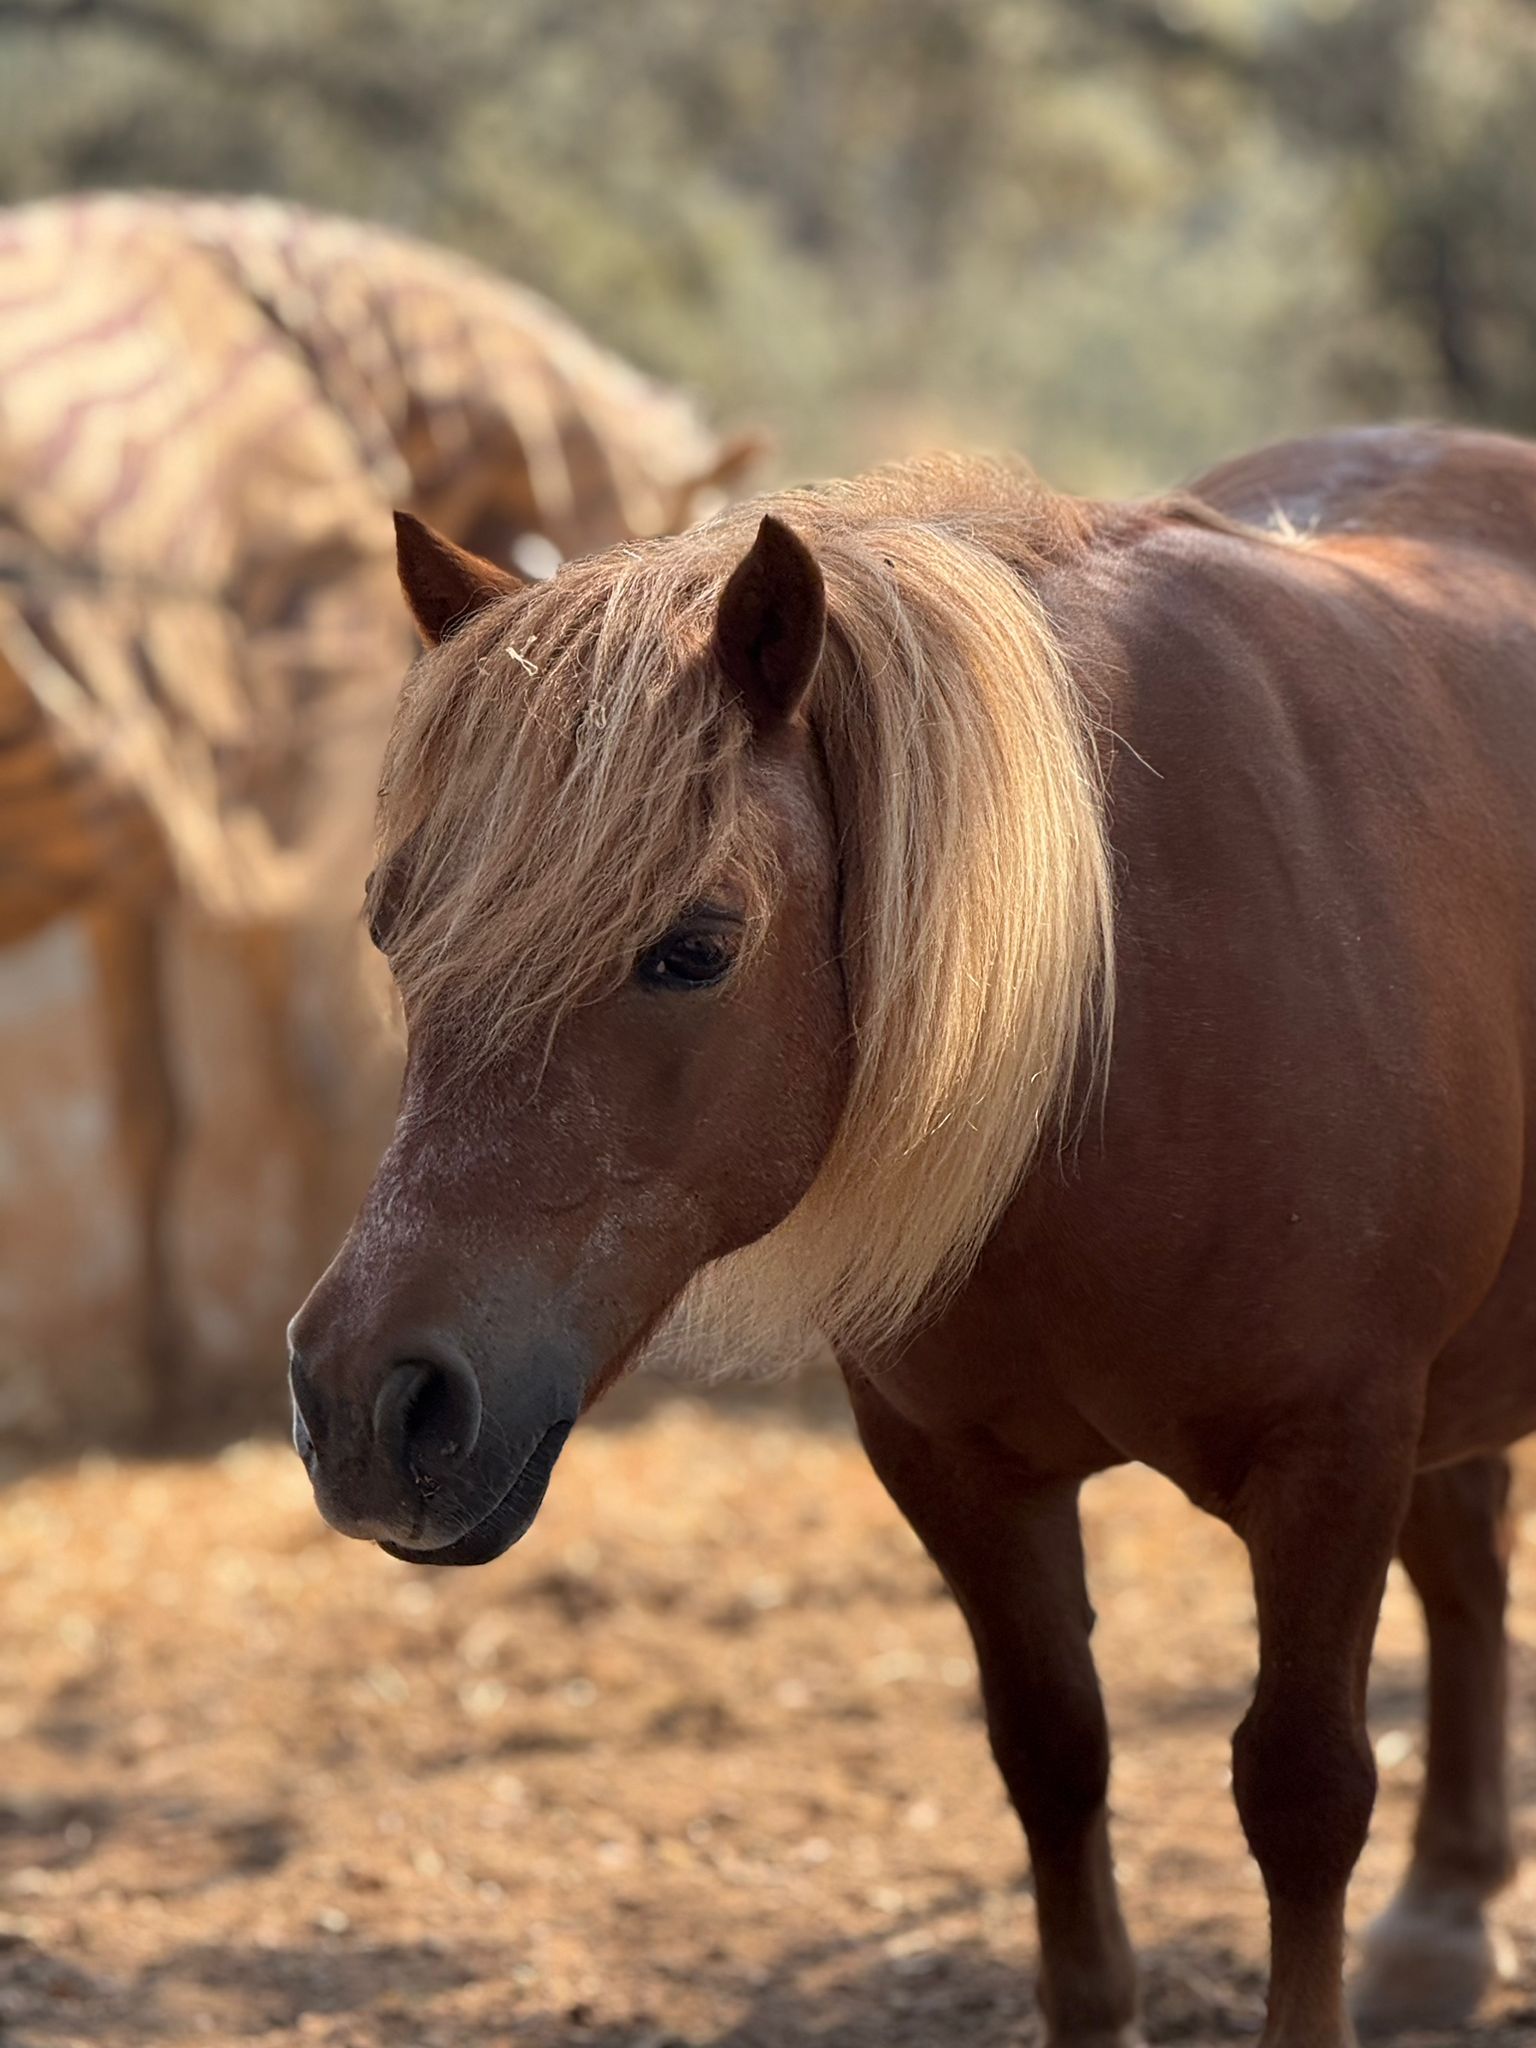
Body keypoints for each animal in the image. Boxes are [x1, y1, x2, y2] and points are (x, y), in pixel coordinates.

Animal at [288, 424, 1536, 2048]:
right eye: (390, 925)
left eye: (695, 947)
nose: (366, 1403)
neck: (1114, 995)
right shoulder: (957, 1471)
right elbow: (1053, 1760)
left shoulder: (1333, 1454)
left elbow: (1303, 1790)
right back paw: (1447, 1913)